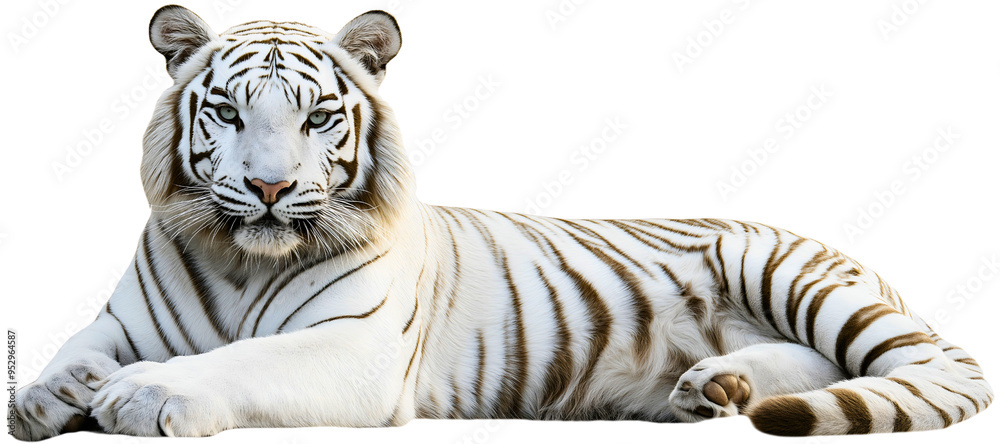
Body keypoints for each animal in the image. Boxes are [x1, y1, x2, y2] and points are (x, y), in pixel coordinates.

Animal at [11, 5, 992, 440]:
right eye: (226, 112)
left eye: (318, 118)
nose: (267, 187)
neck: (246, 258)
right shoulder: (122, 319)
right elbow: (75, 347)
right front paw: (48, 394)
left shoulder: (358, 348)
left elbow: (240, 359)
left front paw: (142, 395)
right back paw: (714, 390)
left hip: (786, 272)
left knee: (928, 363)